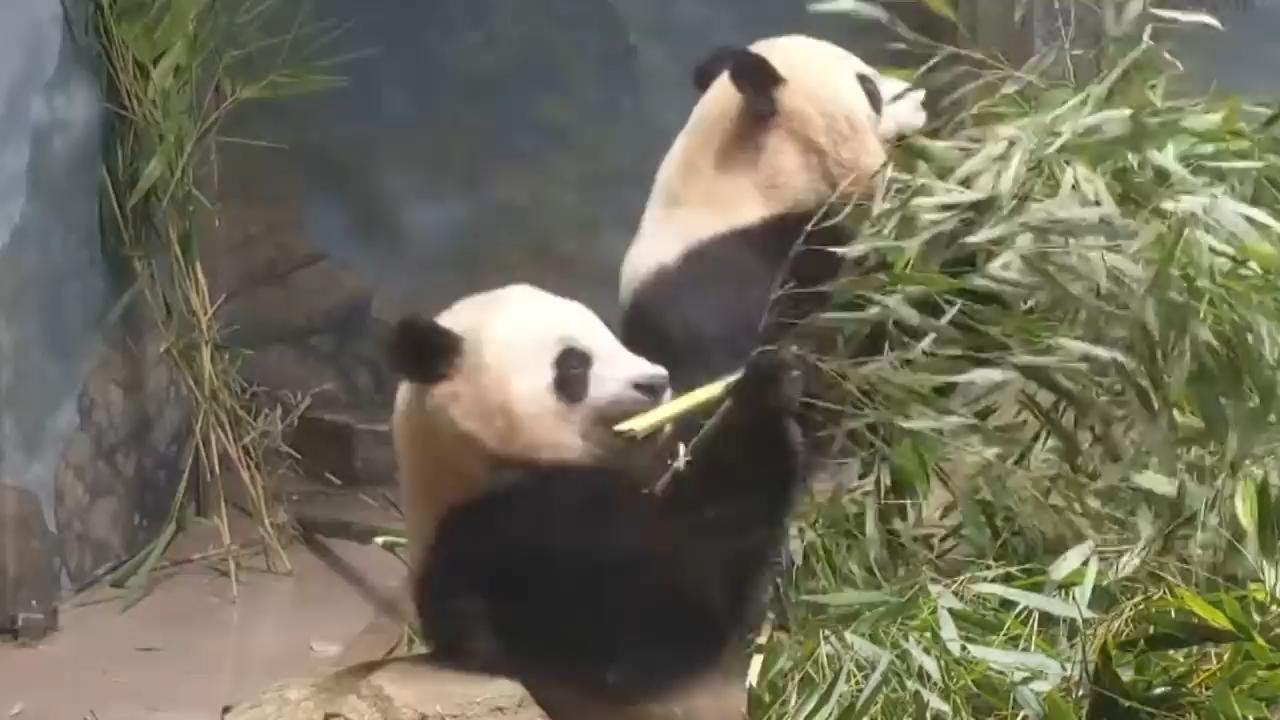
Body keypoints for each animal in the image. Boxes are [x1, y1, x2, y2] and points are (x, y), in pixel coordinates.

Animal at [386, 283, 812, 719]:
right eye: (574, 364)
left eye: (612, 337)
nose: (656, 382)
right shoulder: (505, 539)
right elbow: (671, 585)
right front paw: (759, 391)